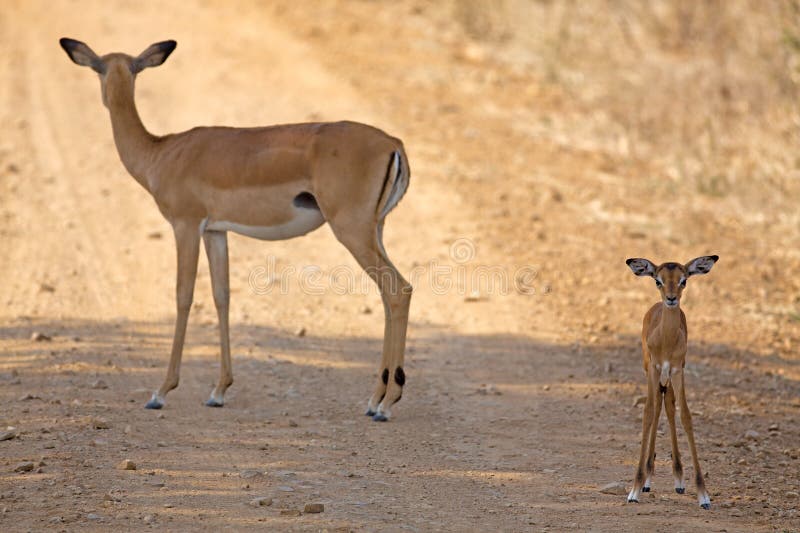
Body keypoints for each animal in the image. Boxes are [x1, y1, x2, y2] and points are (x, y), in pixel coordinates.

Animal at [59, 38, 412, 422]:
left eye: (100, 69)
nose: (105, 98)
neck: (161, 152)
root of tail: (393, 143)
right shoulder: (215, 231)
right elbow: (221, 295)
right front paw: (218, 391)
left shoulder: (185, 224)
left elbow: (183, 296)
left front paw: (161, 392)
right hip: (375, 229)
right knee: (388, 294)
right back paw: (374, 400)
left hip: (352, 230)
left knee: (398, 289)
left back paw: (386, 404)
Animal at [625, 255, 718, 509]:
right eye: (658, 280)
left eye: (683, 280)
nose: (671, 298)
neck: (666, 339)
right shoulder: (654, 369)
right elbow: (648, 413)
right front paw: (634, 490)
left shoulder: (677, 371)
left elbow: (685, 415)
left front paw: (703, 495)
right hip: (652, 372)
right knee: (657, 405)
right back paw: (647, 480)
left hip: (669, 377)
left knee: (667, 404)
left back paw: (678, 479)